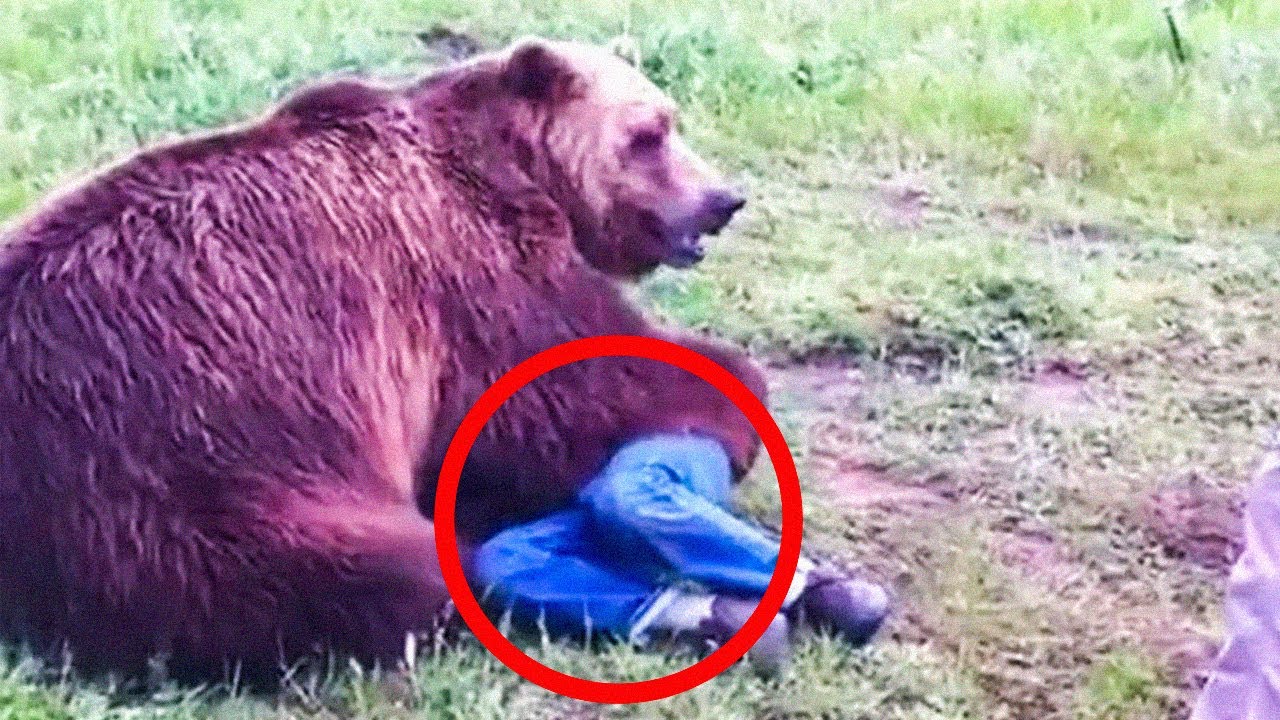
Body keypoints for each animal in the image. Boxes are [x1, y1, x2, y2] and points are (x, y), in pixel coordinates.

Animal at [0, 37, 763, 681]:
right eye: (648, 135)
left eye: (670, 120)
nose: (723, 199)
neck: (520, 168)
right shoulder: (469, 269)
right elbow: (568, 387)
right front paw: (731, 395)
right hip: (180, 465)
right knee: (371, 573)